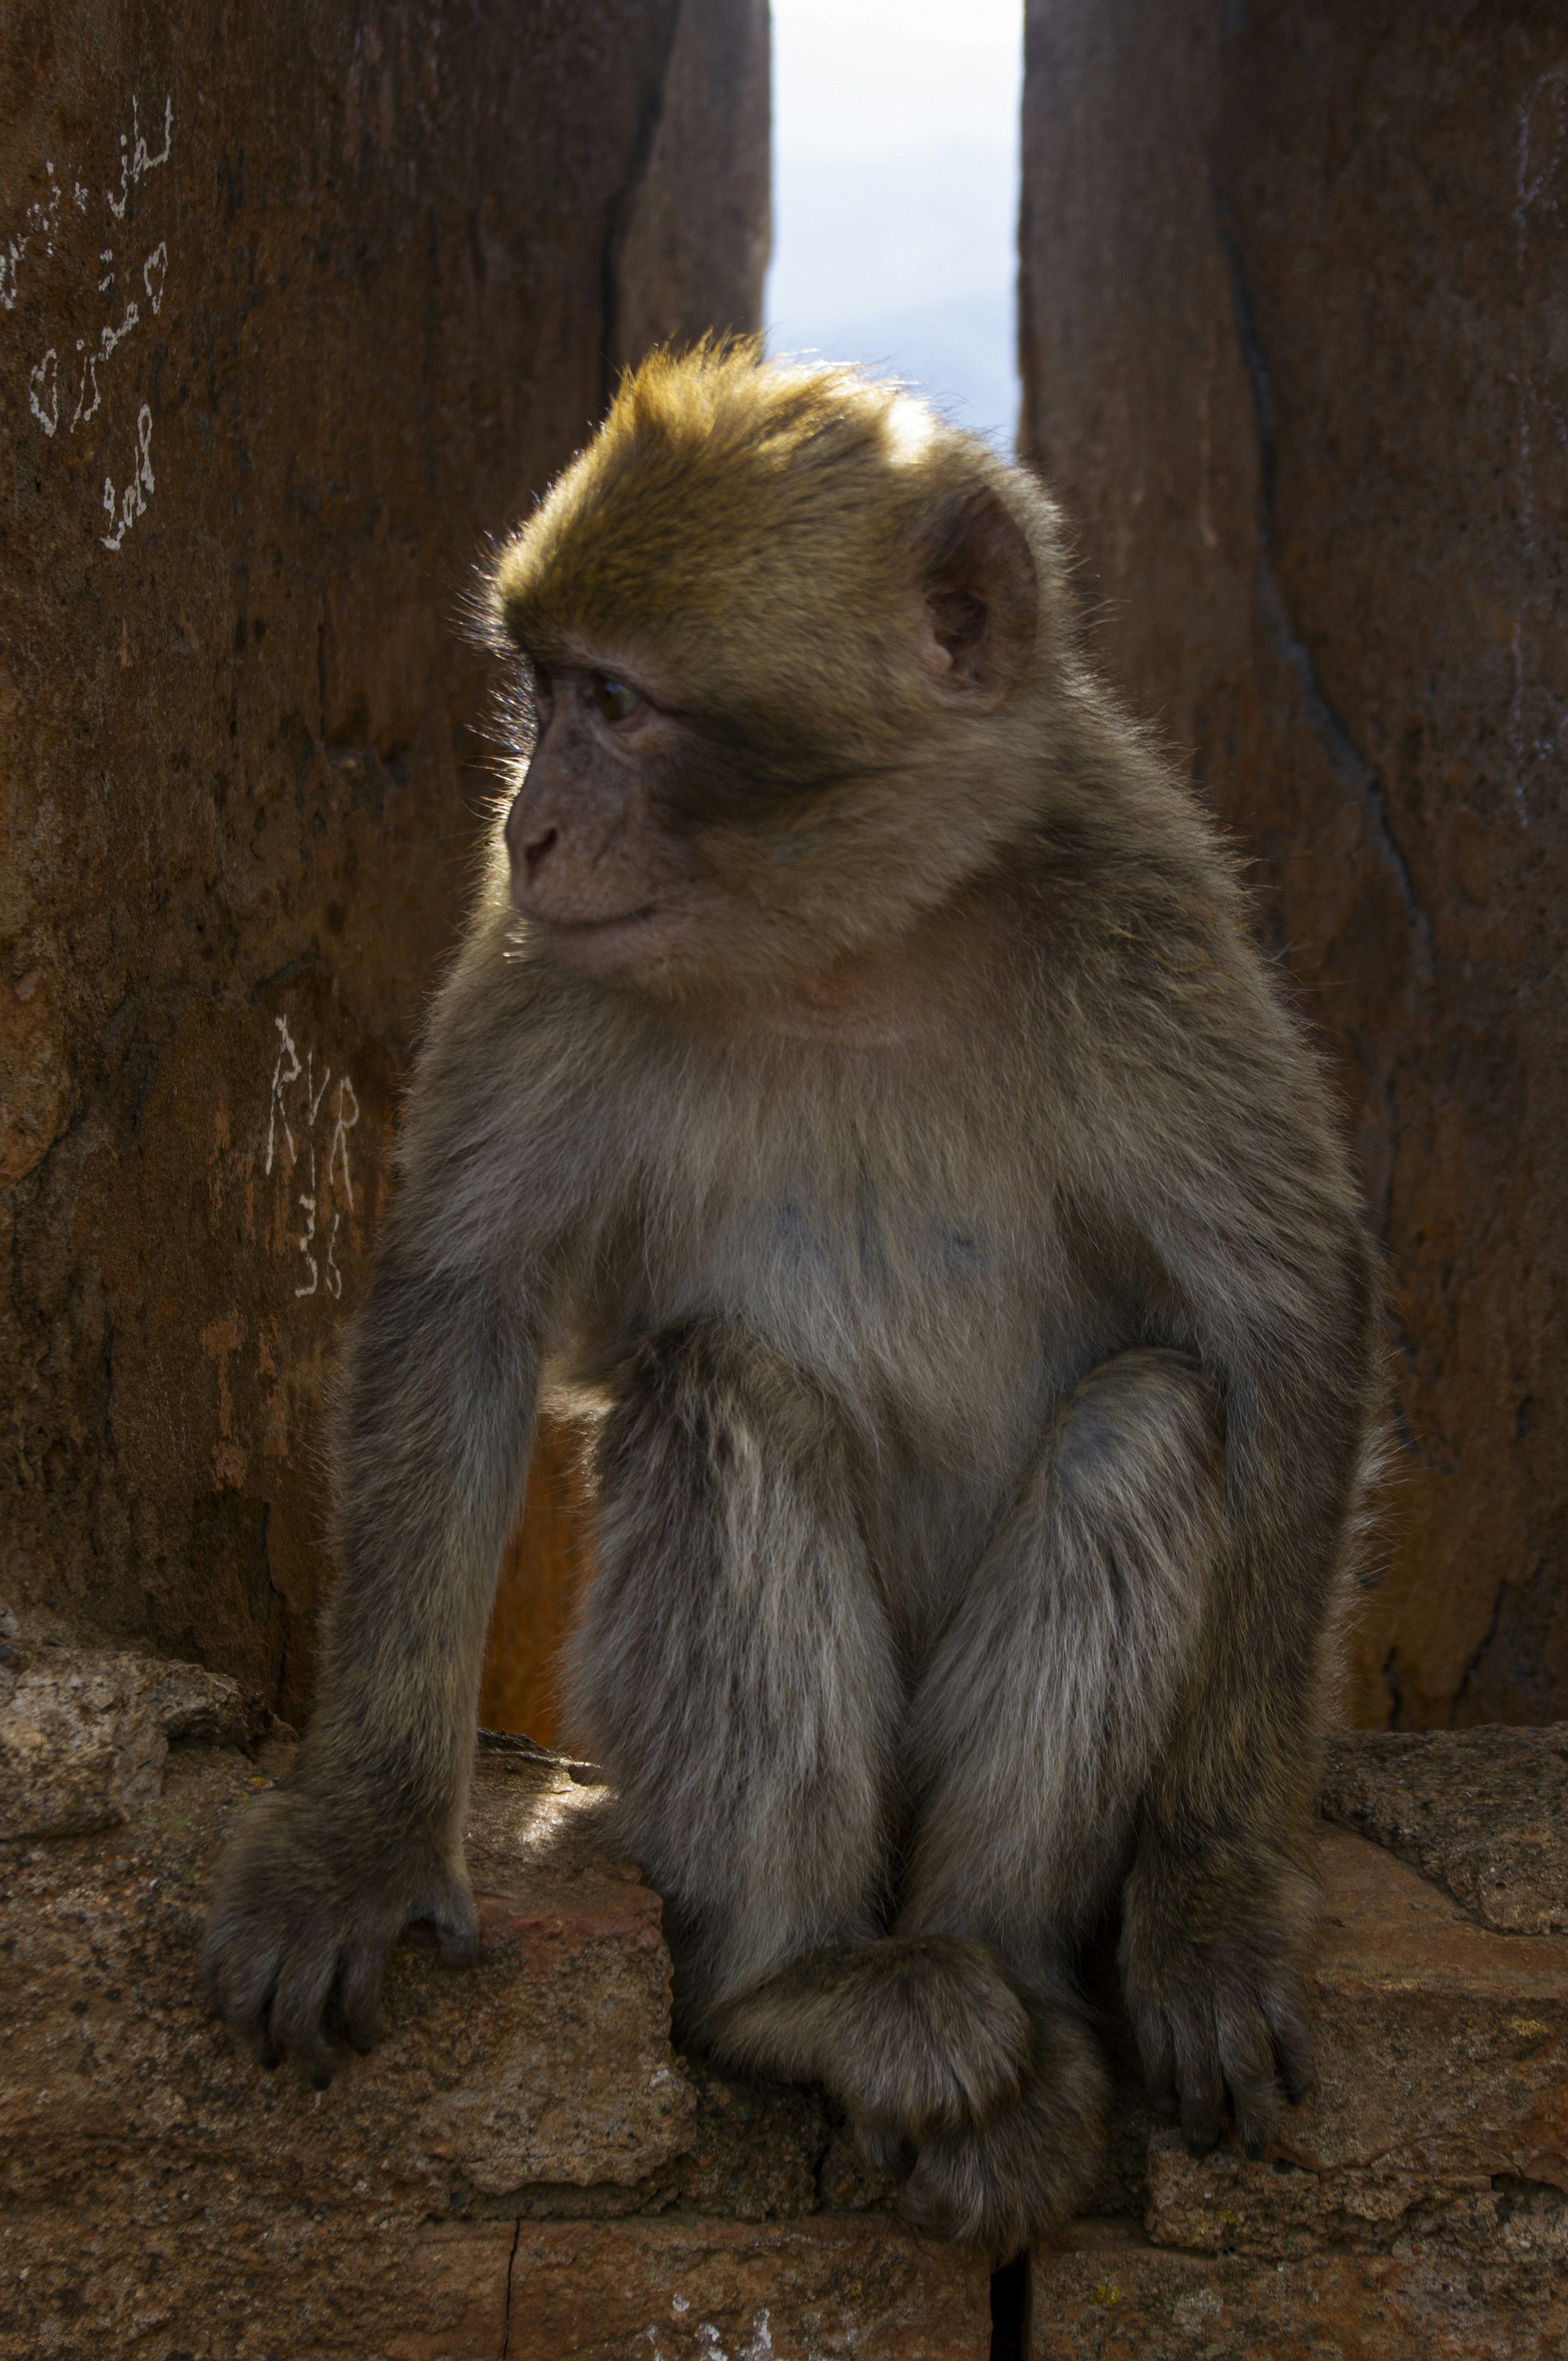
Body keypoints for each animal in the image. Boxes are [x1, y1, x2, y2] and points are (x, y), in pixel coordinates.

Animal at [205, 341, 1381, 2259]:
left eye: (617, 701)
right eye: (544, 690)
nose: (530, 823)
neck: (854, 945)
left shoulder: (1138, 914)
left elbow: (1285, 1321)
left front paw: (1212, 1894)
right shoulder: (545, 962)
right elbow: (464, 1309)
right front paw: (361, 1837)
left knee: (1143, 1424)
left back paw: (1000, 1975)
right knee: (719, 1397)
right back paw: (799, 1986)